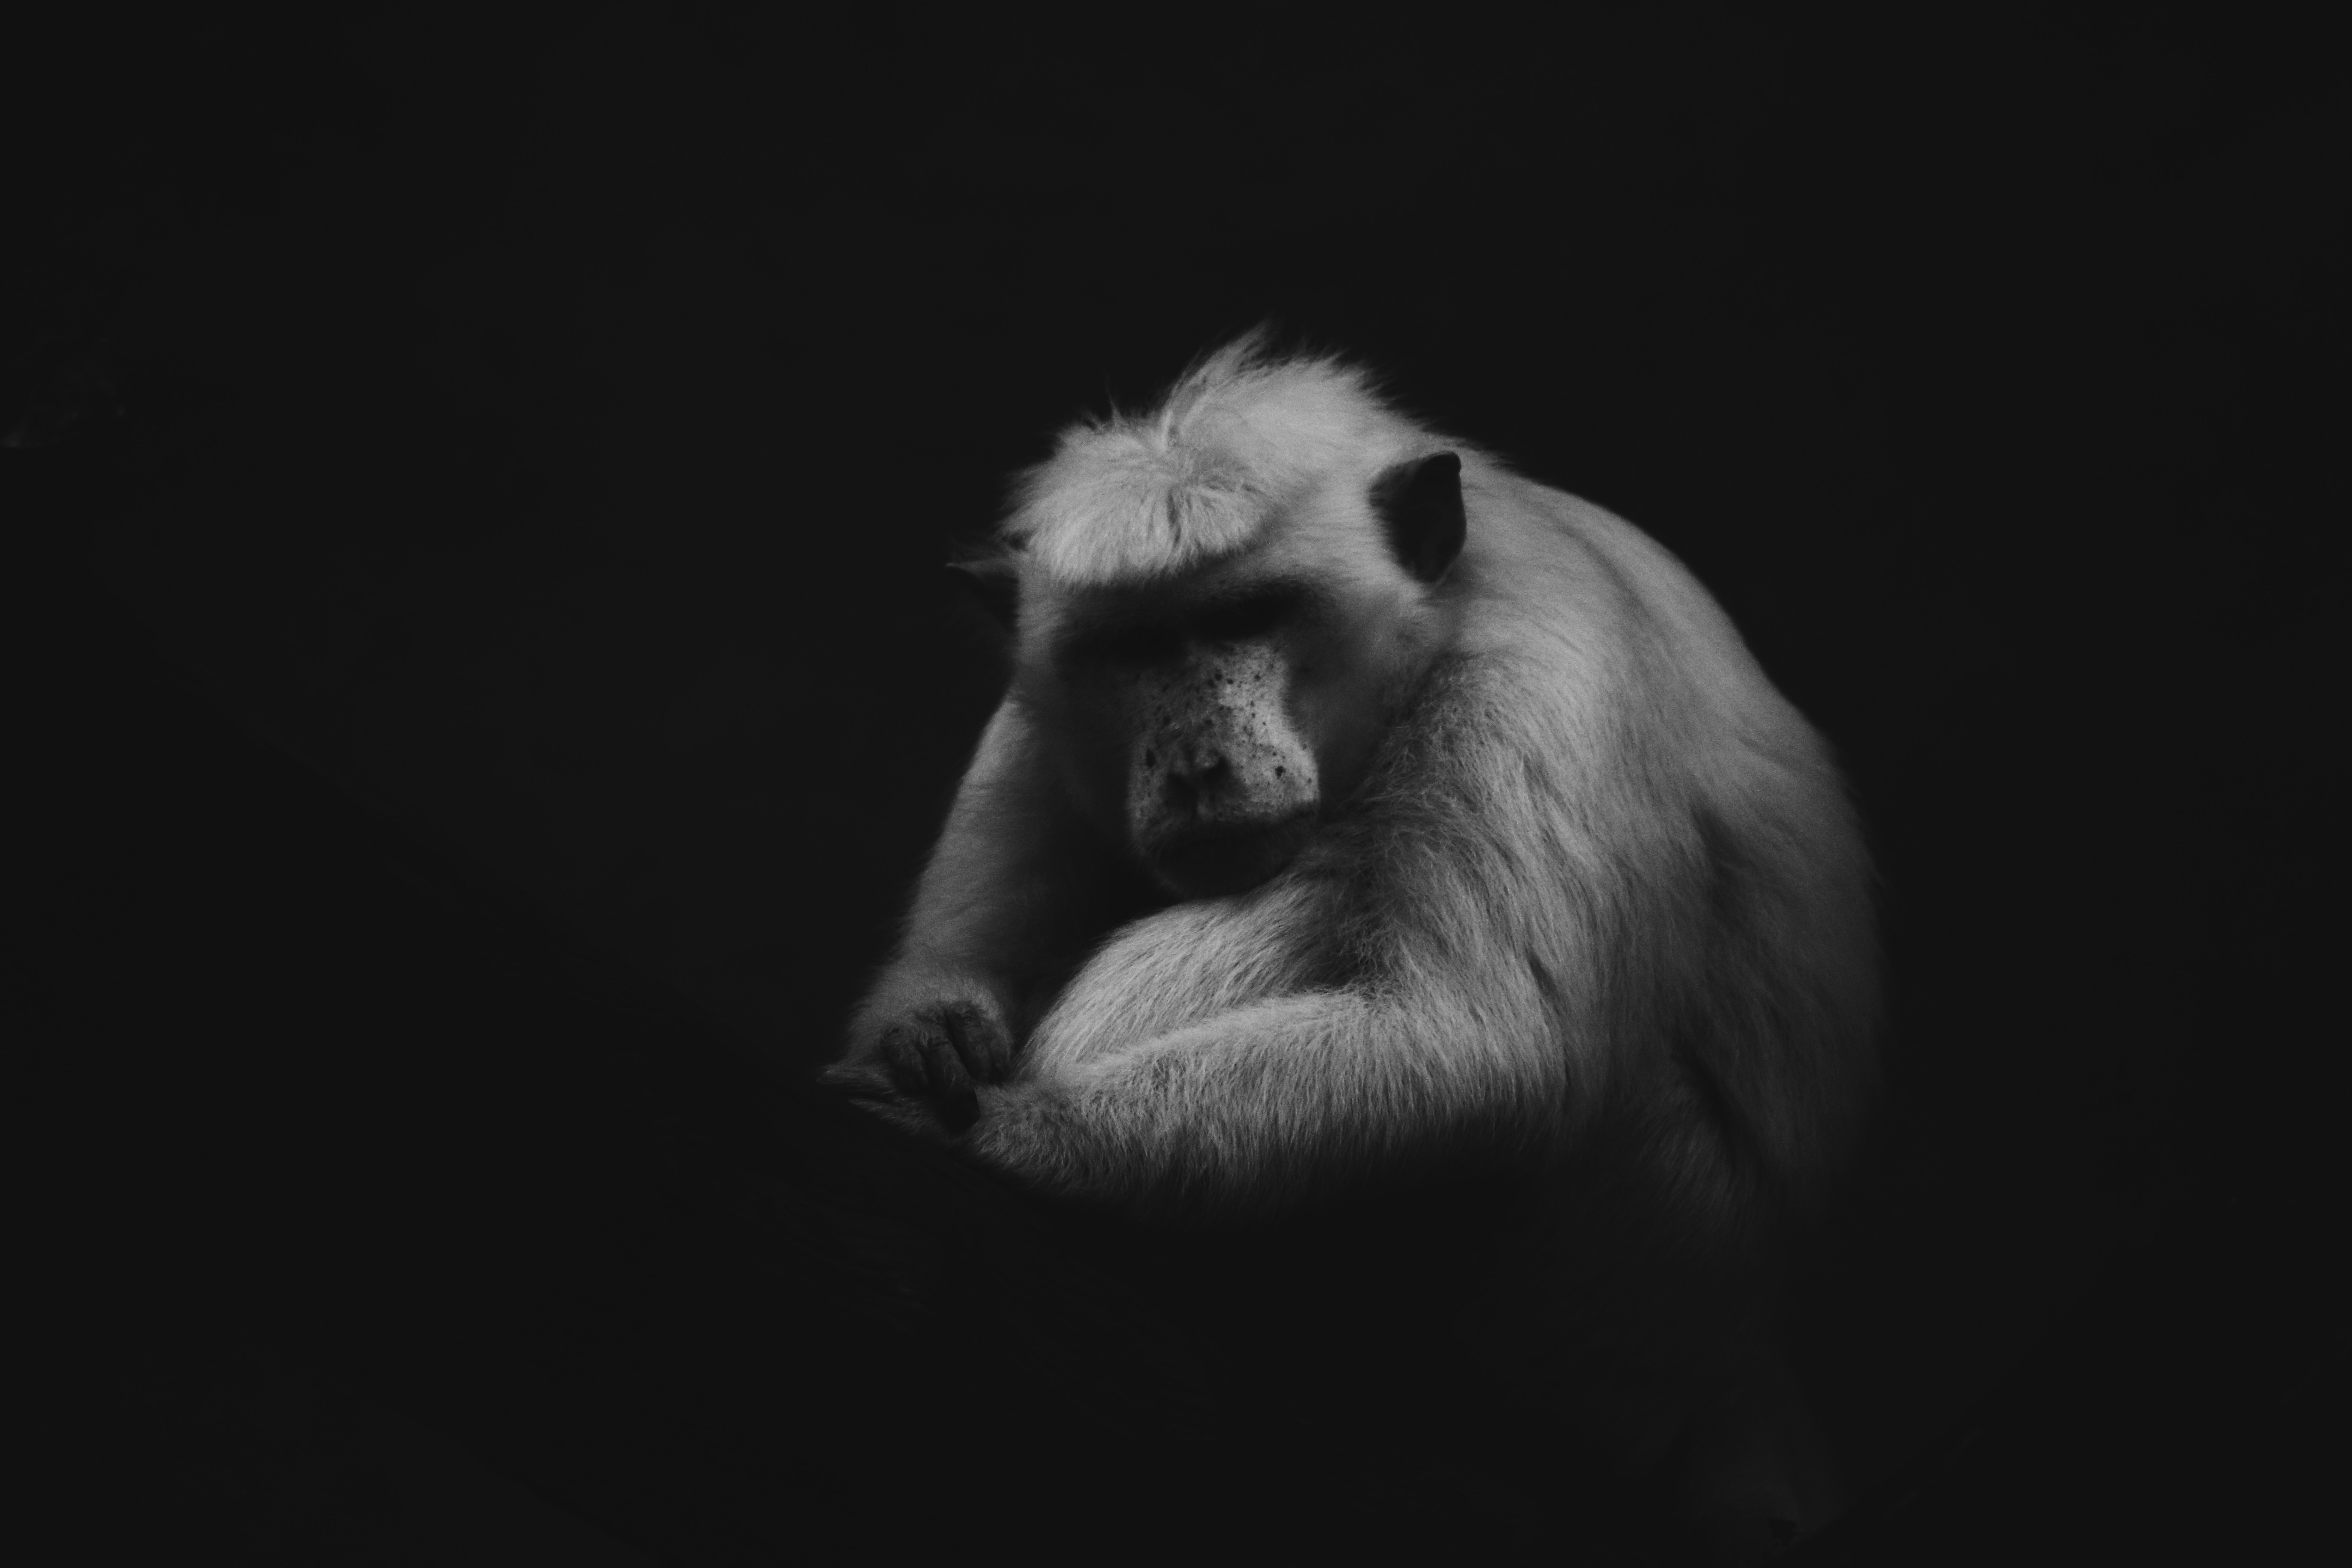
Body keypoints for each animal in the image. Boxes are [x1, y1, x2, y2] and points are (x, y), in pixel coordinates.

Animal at [823, 334, 1879, 1559]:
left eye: (1249, 617)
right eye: (1134, 649)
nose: (1196, 765)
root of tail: (1736, 1371)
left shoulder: (1532, 675)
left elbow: (1488, 1049)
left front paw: (1008, 1131)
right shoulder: (1043, 722)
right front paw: (930, 1031)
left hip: (1629, 1266)